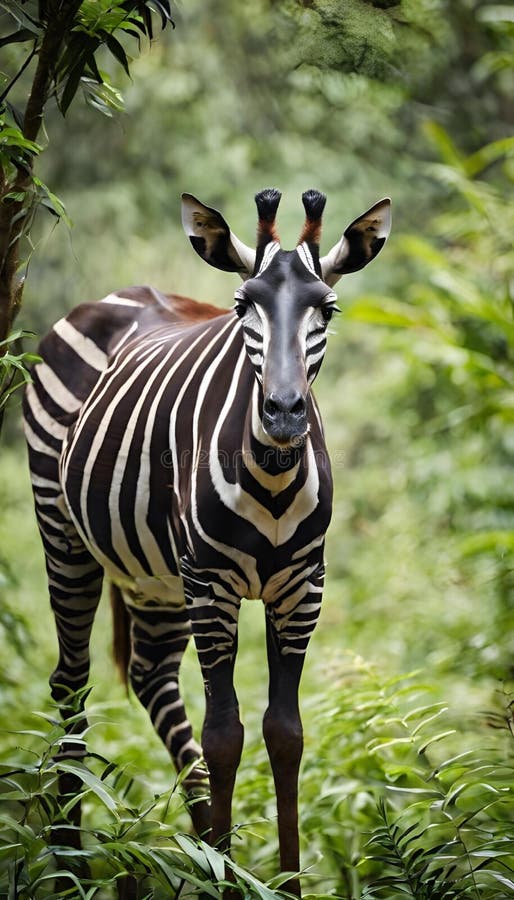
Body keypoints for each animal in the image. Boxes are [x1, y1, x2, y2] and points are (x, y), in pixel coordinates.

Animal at [23, 188, 391, 895]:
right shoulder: (212, 585)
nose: (283, 413)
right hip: (66, 532)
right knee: (71, 684)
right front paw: (230, 880)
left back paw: (199, 852)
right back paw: (70, 865)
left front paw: (281, 882)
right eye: (243, 304)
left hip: (155, 576)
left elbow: (285, 733)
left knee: (152, 679)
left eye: (327, 308)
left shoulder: (301, 588)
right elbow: (225, 733)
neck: (272, 476)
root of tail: (118, 294)